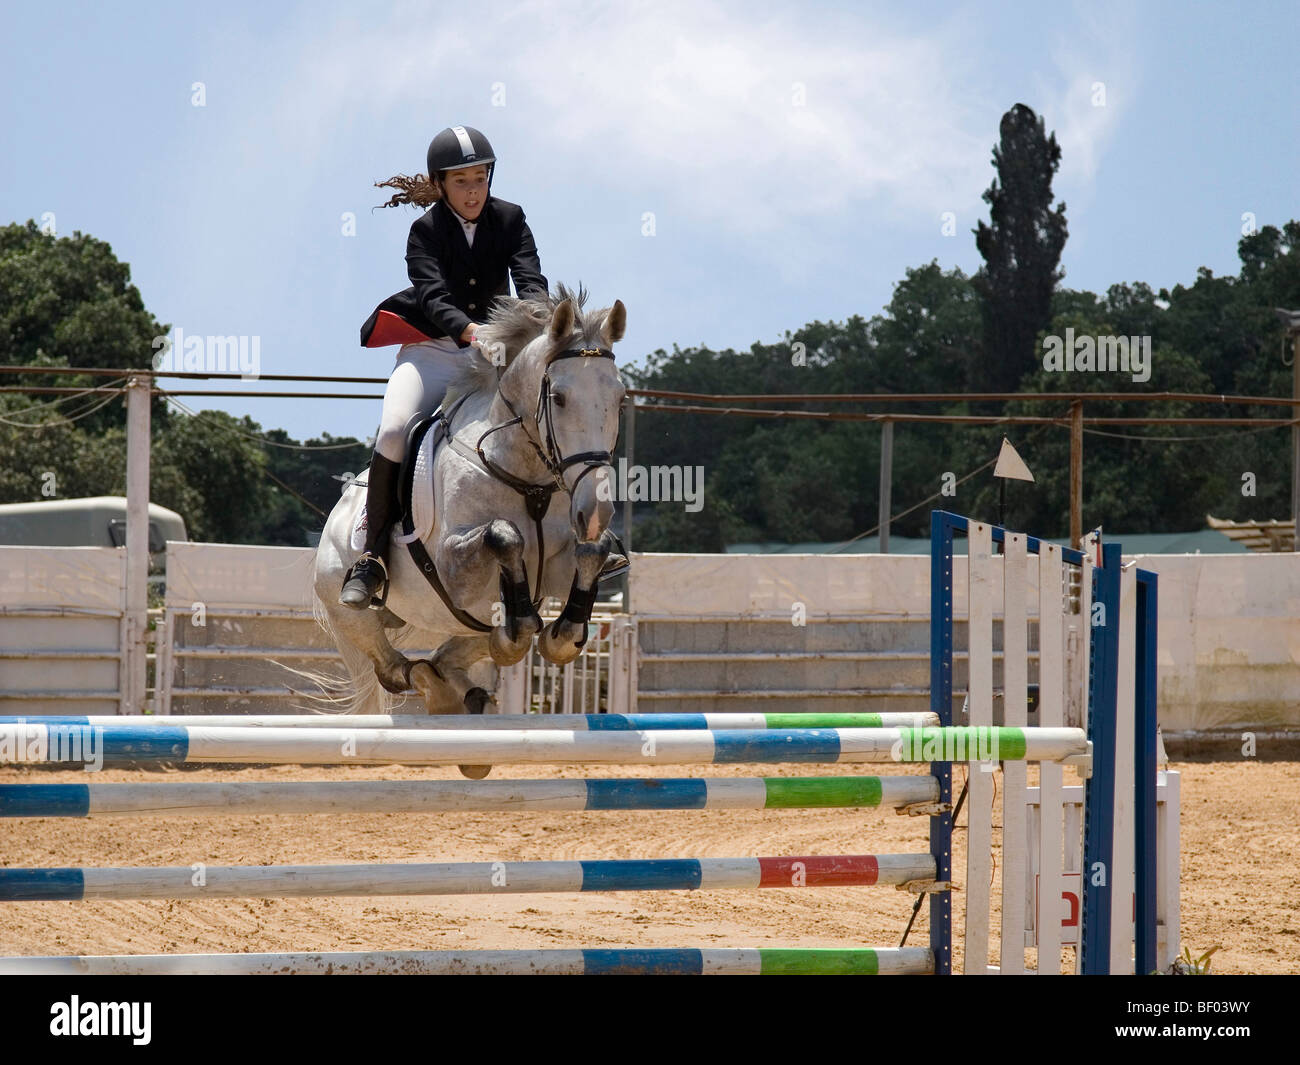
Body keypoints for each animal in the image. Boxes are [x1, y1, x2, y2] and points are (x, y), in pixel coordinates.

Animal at [312, 286, 626, 735]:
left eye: (620, 399)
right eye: (559, 398)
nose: (596, 512)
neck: (529, 479)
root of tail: (338, 513)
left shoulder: (556, 564)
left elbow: (591, 556)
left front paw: (560, 632)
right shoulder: (452, 568)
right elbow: (503, 535)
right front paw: (521, 629)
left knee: (444, 657)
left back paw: (458, 687)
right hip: (349, 610)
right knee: (393, 669)